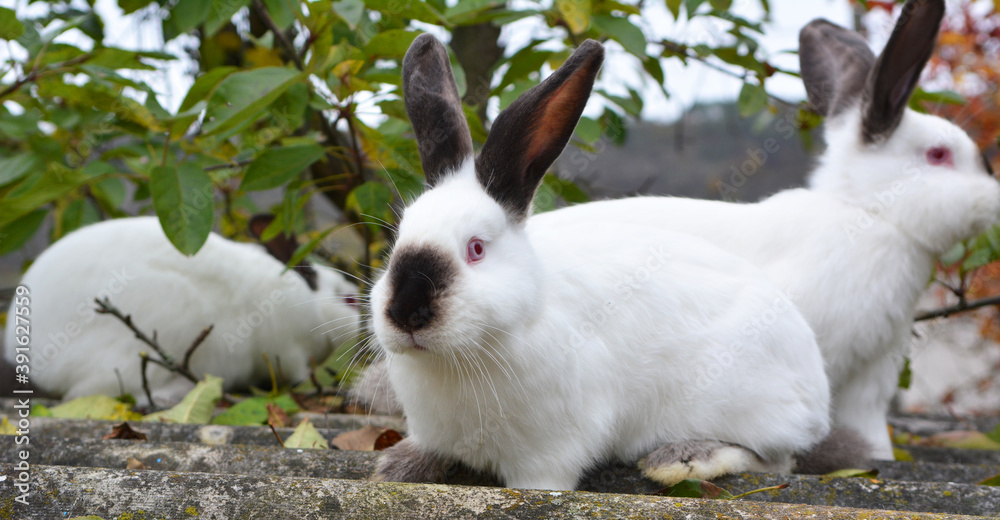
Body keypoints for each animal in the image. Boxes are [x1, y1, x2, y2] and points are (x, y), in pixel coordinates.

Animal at [3, 214, 361, 407]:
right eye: (349, 300)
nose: (363, 325)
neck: (310, 301)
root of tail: (31, 364)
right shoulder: (288, 350)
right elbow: (297, 372)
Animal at [369, 34, 833, 491]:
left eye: (476, 249)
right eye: (398, 238)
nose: (407, 312)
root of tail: (816, 387)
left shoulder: (548, 454)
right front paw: (398, 466)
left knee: (775, 459)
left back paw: (683, 458)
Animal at [549, 0, 999, 460]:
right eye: (938, 155)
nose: (992, 198)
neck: (867, 212)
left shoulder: (870, 379)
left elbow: (872, 430)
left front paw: (877, 457)